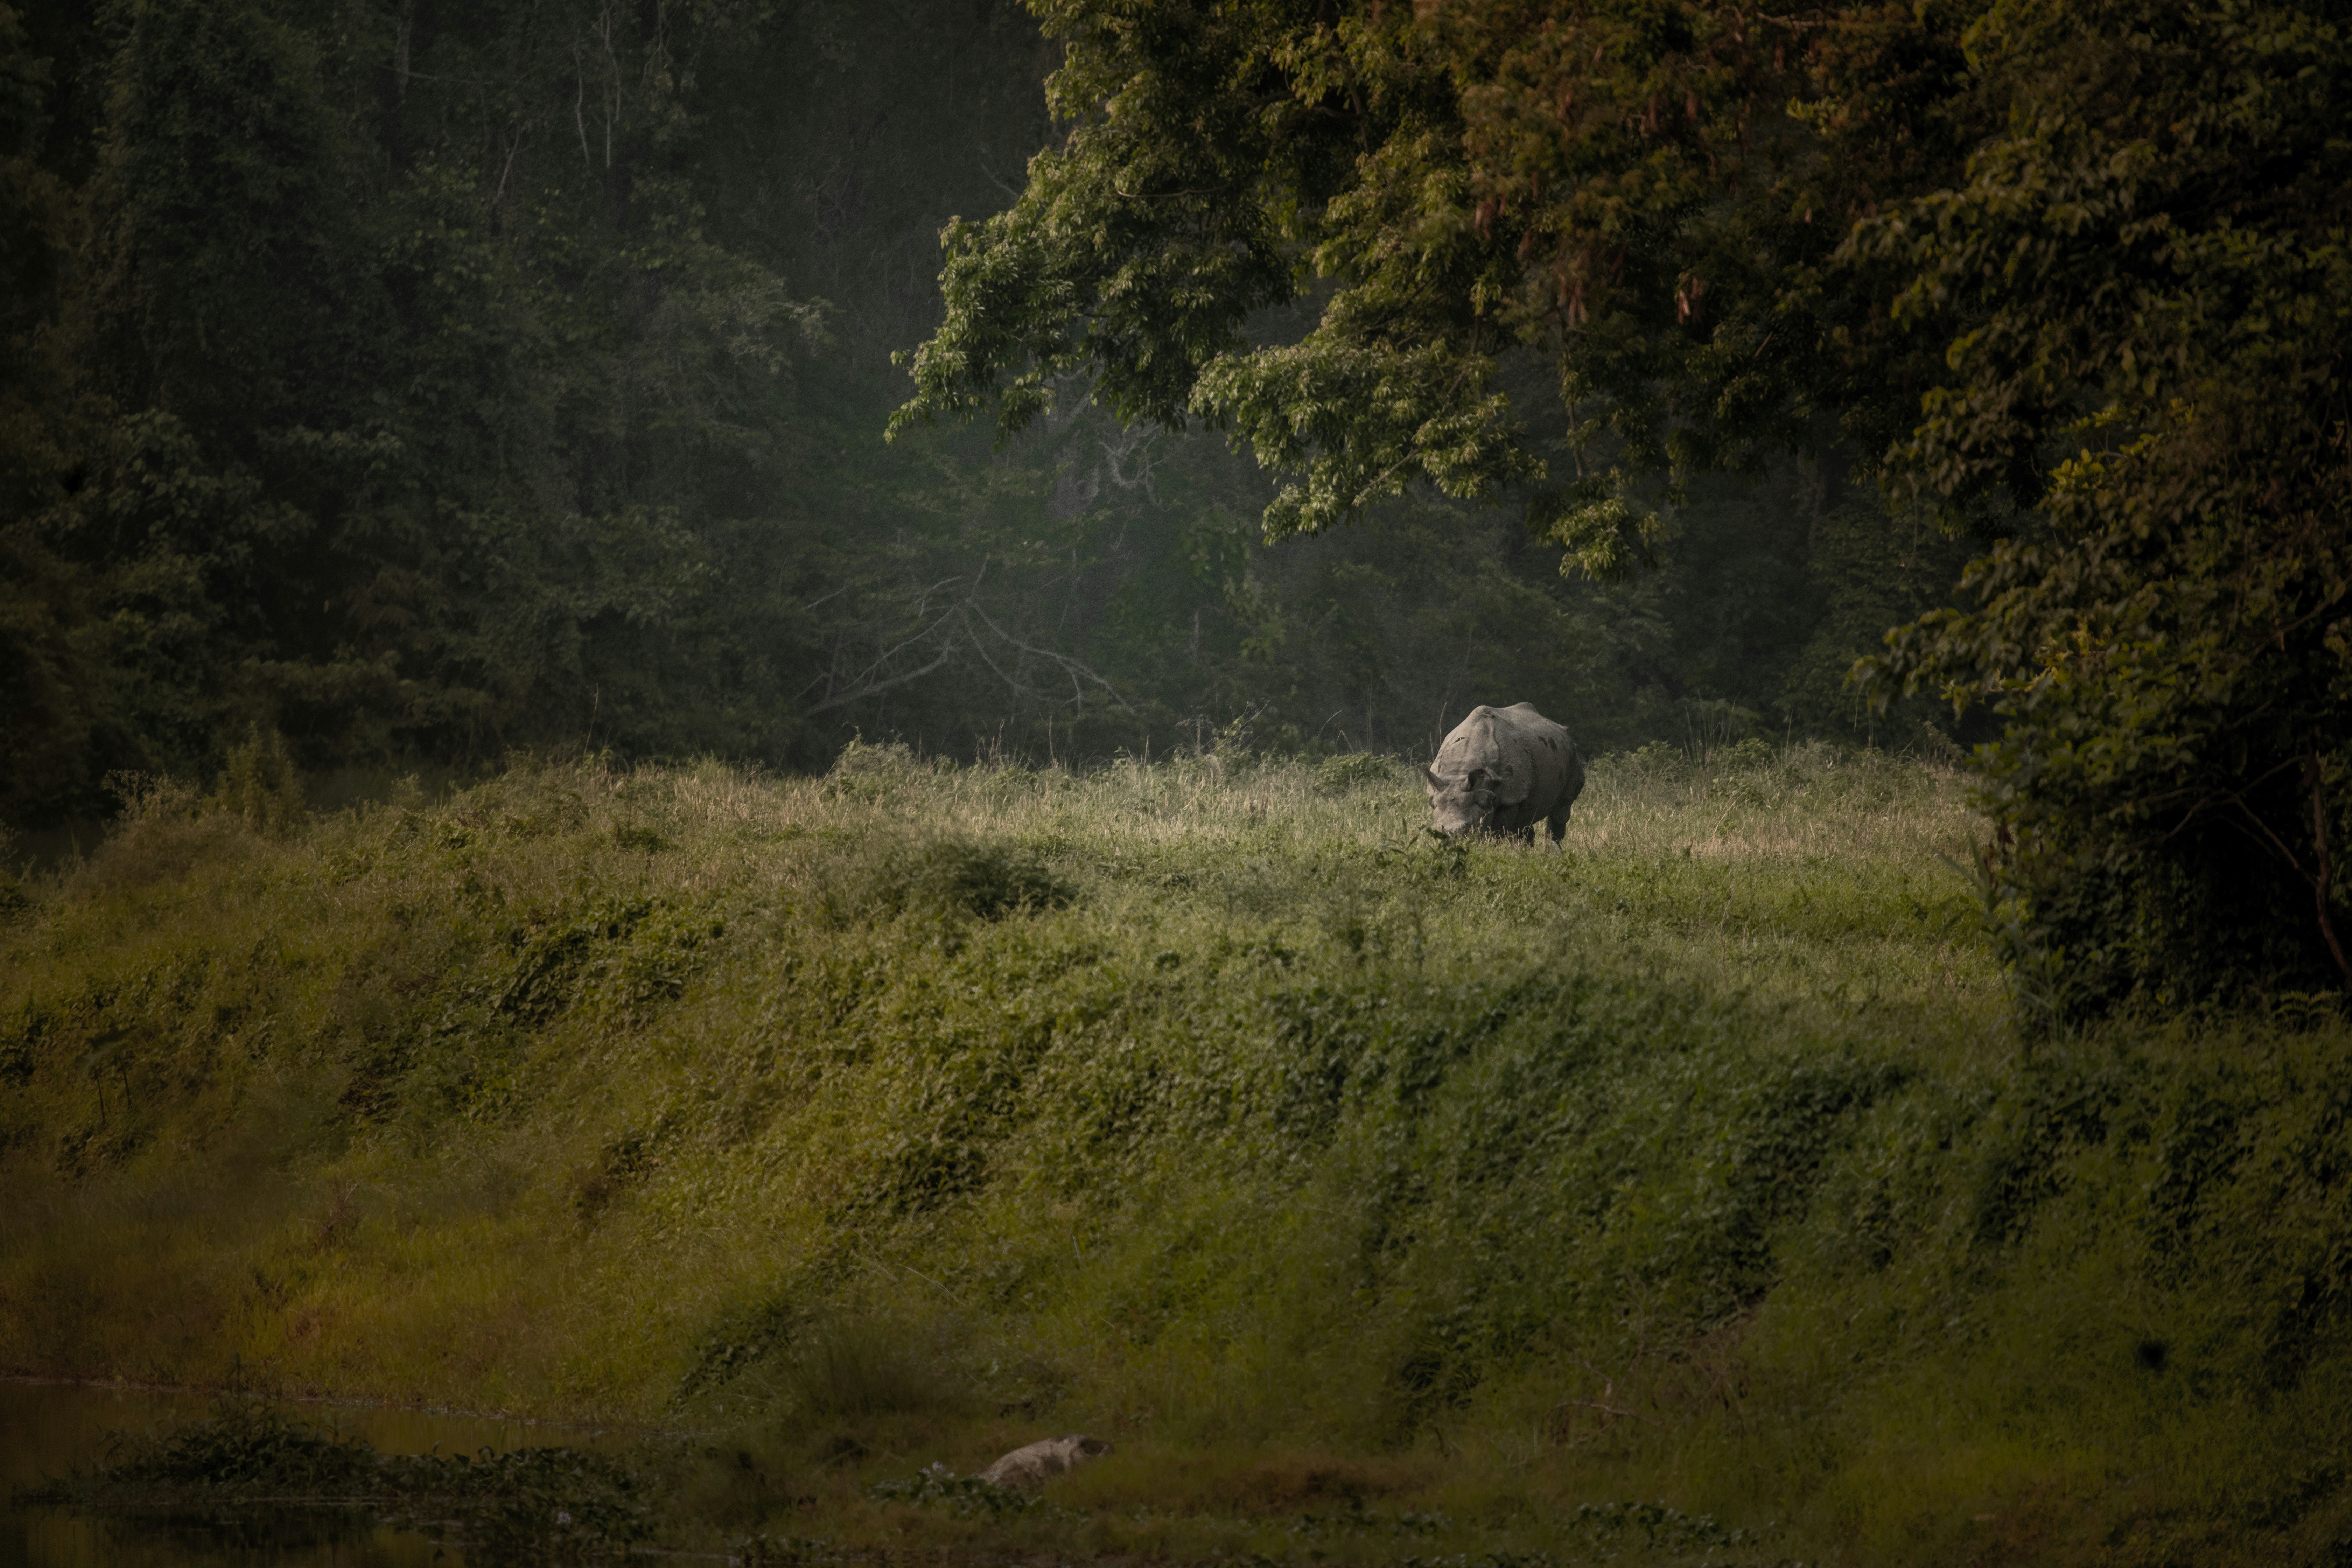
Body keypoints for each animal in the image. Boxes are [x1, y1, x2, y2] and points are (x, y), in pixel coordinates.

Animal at [1423, 703, 1585, 848]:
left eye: (1469, 827)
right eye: (1440, 829)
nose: (1453, 841)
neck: (1459, 774)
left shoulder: (1511, 798)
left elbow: (1498, 830)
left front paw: (1492, 849)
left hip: (1572, 756)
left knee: (1561, 810)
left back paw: (1550, 852)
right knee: (1525, 822)